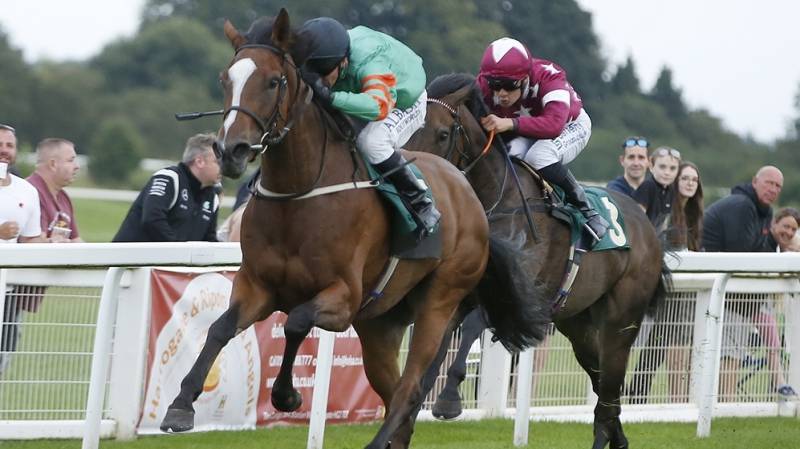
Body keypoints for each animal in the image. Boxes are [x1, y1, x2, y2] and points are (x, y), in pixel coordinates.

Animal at [159, 11, 499, 449]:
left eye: (274, 81)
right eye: (224, 79)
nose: (231, 151)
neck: (298, 195)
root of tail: (467, 190)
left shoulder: (343, 297)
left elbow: (296, 321)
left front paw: (286, 396)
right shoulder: (257, 286)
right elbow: (219, 328)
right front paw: (181, 406)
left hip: (439, 302)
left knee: (410, 389)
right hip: (380, 324)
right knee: (394, 394)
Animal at [406, 73, 670, 449]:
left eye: (443, 134)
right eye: (412, 128)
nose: (421, 176)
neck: (500, 201)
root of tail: (646, 225)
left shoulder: (517, 293)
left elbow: (473, 326)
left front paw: (448, 400)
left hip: (621, 320)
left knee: (609, 387)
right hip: (577, 324)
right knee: (604, 383)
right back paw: (618, 438)